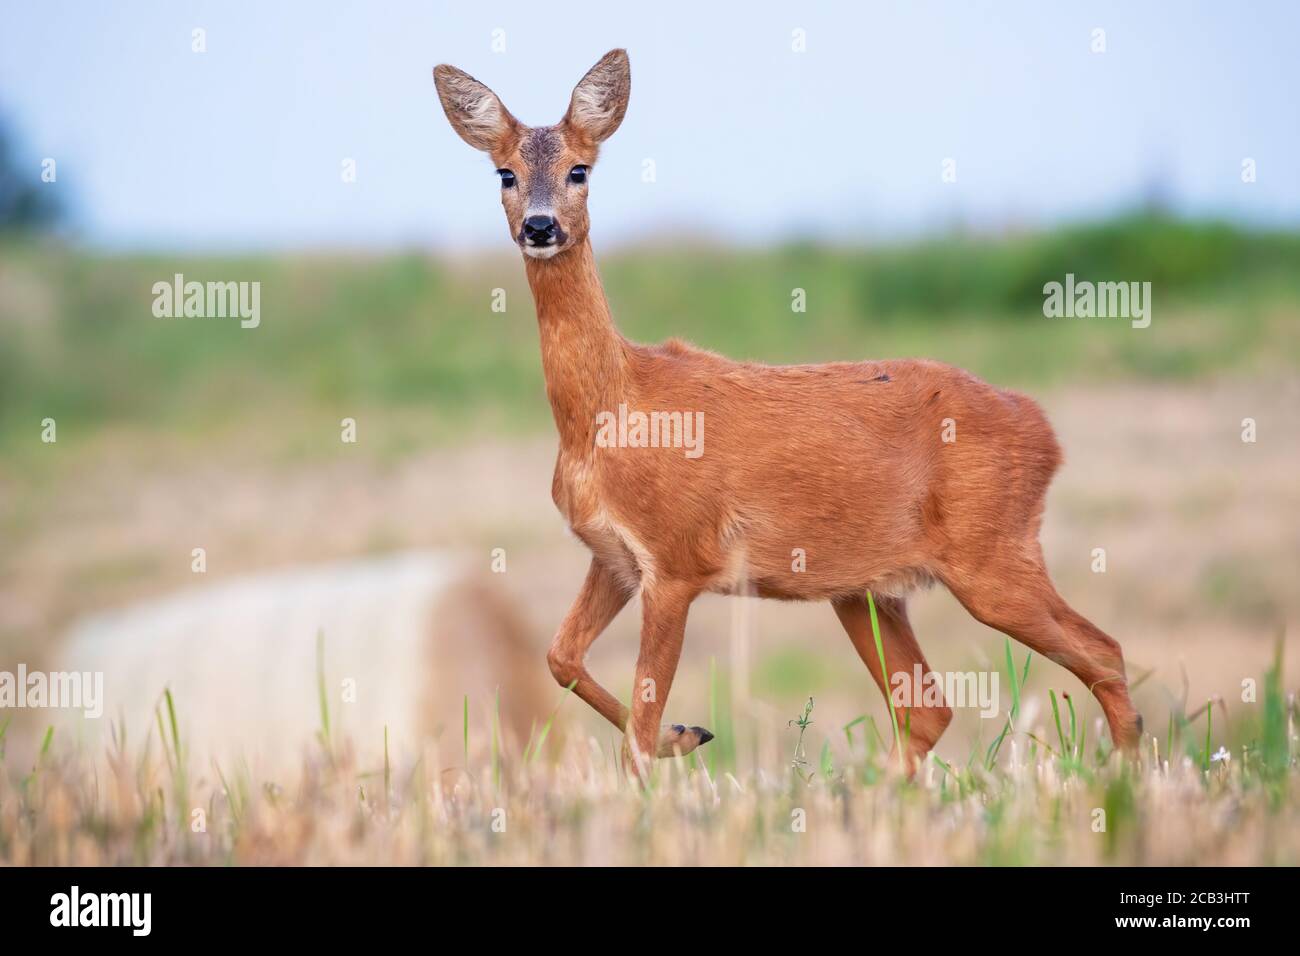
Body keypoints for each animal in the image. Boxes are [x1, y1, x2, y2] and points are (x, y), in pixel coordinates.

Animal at [433, 49, 1142, 779]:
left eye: (580, 168)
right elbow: (561, 656)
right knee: (930, 707)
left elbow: (638, 729)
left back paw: (1126, 778)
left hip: (992, 556)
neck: (611, 412)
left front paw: (669, 750)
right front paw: (689, 732)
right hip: (867, 589)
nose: (540, 226)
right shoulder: (616, 558)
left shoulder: (678, 558)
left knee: (1104, 652)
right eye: (505, 172)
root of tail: (1041, 427)